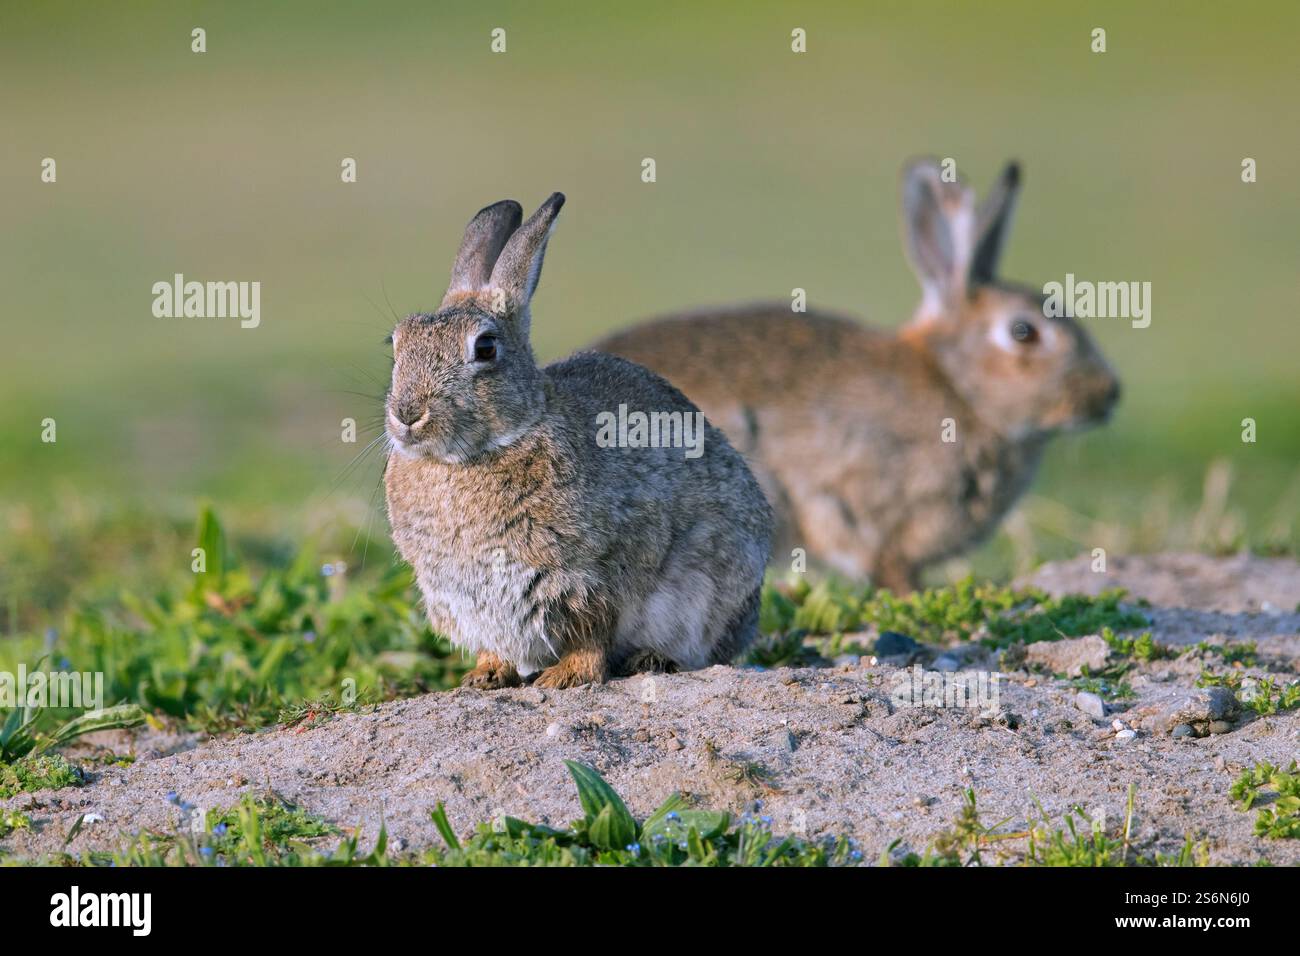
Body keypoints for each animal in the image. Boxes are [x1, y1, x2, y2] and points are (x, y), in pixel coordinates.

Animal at [383, 193, 773, 689]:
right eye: (396, 344)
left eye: (485, 348)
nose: (407, 414)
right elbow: (496, 647)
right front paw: (485, 675)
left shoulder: (594, 577)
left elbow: (593, 635)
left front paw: (565, 678)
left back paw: (651, 659)